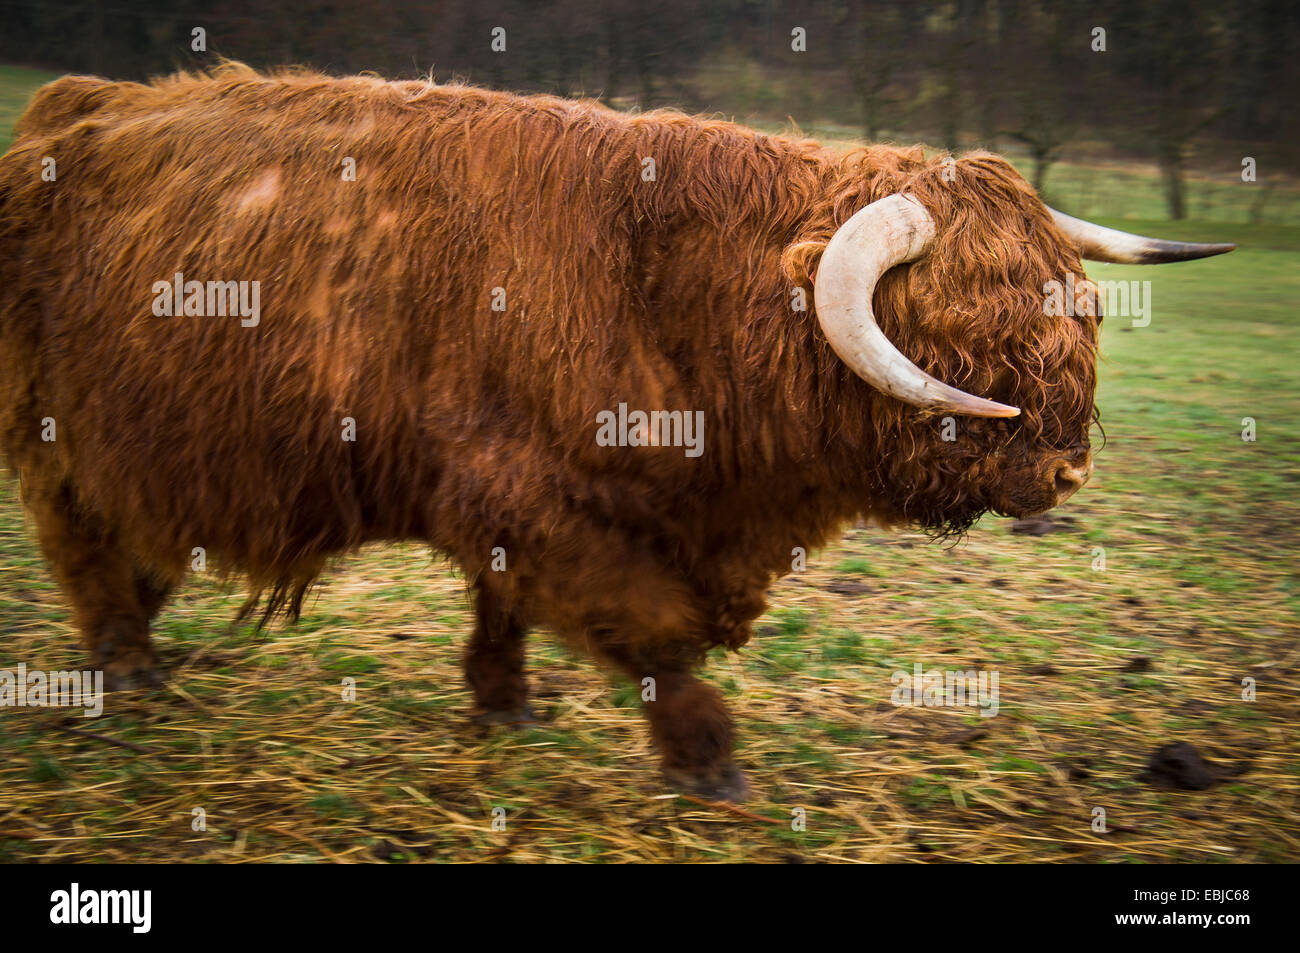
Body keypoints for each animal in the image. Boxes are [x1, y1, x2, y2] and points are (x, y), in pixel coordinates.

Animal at [0, 65, 1232, 800]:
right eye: (965, 324)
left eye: (1073, 306)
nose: (1065, 469)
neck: (671, 293)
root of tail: (68, 104)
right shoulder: (533, 497)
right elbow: (651, 632)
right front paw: (709, 760)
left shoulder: (521, 496)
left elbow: (503, 607)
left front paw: (505, 706)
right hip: (51, 428)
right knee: (76, 535)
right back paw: (128, 665)